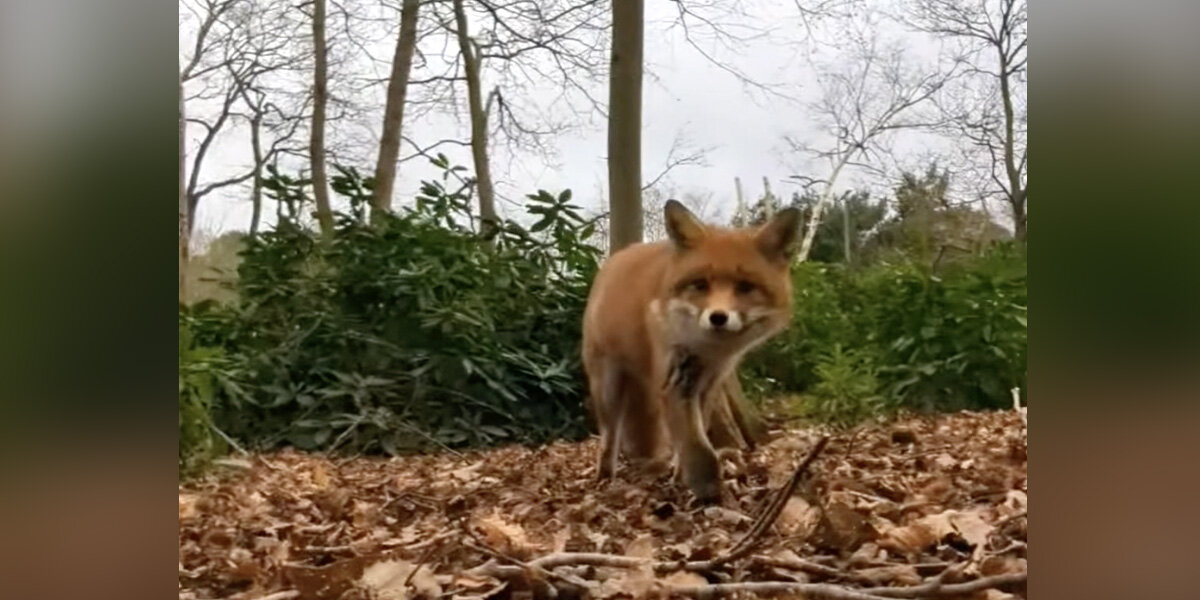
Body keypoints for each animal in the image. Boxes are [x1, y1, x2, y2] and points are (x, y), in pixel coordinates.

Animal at [582, 200, 801, 502]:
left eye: (745, 287)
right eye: (700, 285)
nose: (718, 317)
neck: (707, 352)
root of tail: (619, 255)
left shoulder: (708, 384)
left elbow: (692, 441)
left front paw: (685, 480)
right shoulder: (676, 380)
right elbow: (700, 452)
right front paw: (709, 492)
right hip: (608, 390)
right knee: (608, 437)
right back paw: (605, 476)